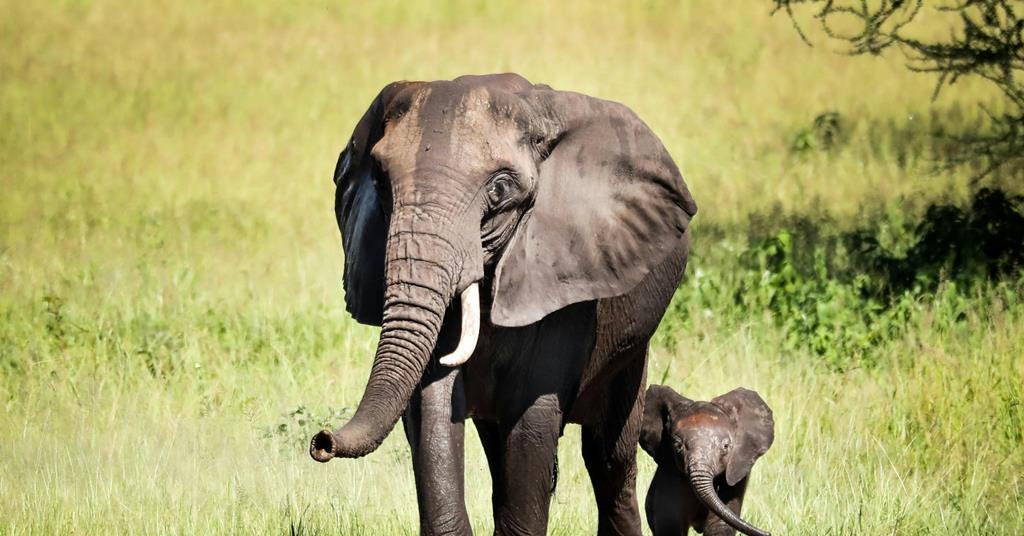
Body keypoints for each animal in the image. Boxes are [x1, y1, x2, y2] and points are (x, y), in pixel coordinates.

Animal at [308, 73, 697, 535]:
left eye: (500, 189)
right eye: (381, 183)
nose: (321, 441)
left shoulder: (563, 274)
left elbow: (532, 418)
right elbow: (432, 404)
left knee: (609, 457)